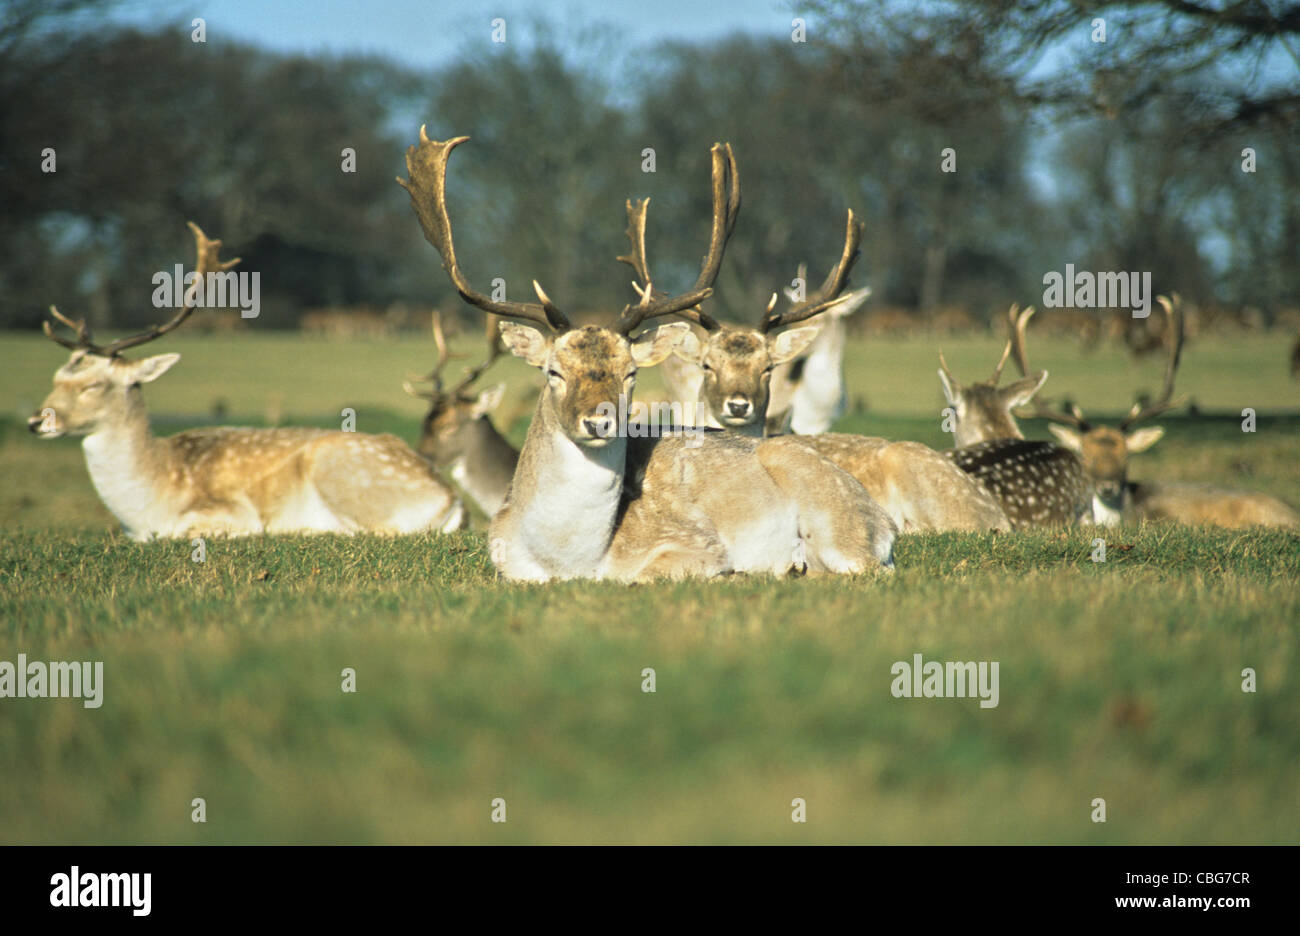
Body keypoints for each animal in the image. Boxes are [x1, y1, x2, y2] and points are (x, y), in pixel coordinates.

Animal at [29, 222, 466, 540]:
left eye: (92, 384)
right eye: (56, 376)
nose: (37, 420)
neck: (147, 503)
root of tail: (450, 497)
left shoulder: (229, 511)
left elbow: (187, 530)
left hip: (340, 470)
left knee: (382, 530)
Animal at [397, 127, 897, 582]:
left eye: (631, 372)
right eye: (553, 372)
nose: (599, 420)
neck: (570, 561)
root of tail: (885, 522)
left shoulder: (694, 541)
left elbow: (647, 574)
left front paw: (736, 572)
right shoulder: (505, 564)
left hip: (838, 522)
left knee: (870, 570)